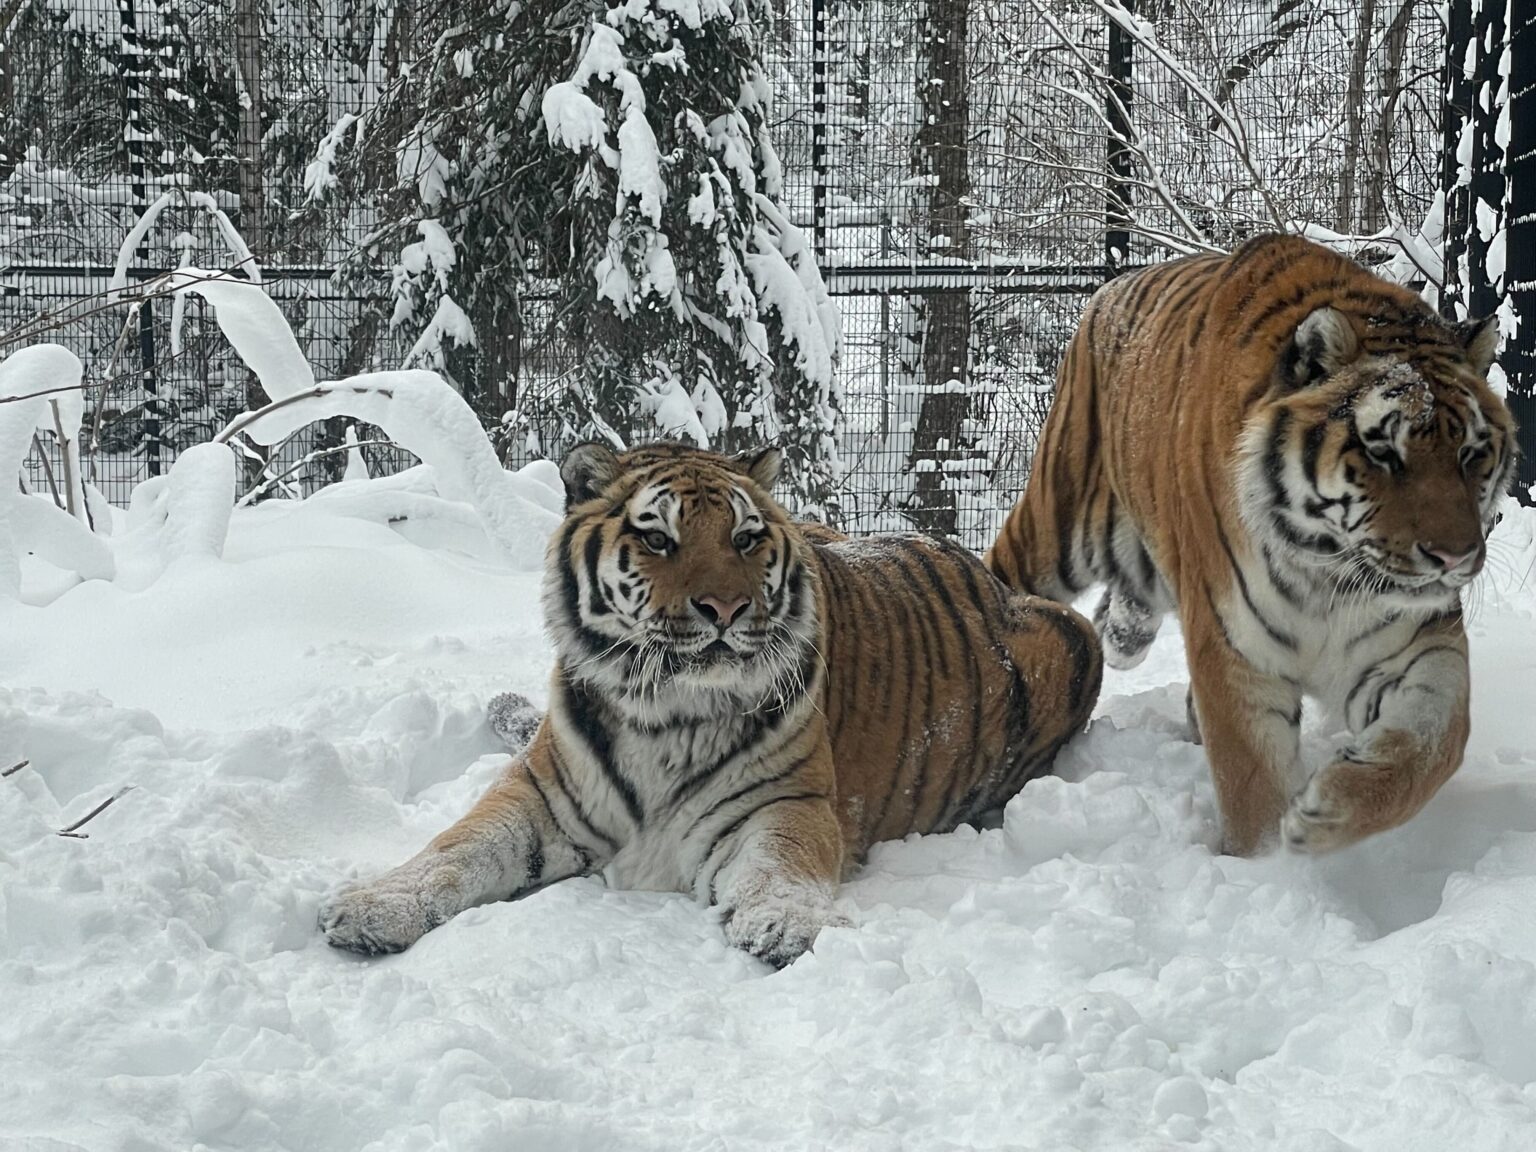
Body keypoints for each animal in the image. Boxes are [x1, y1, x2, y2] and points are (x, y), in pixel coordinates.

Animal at [320, 442, 1102, 967]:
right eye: (656, 537)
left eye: (746, 538)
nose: (726, 608)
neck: (661, 711)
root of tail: (983, 572)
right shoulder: (539, 793)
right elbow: (456, 847)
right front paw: (372, 906)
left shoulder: (785, 802)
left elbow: (781, 863)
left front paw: (789, 925)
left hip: (1073, 636)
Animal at [985, 233, 1517, 857]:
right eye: (1382, 452)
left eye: (1471, 454)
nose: (1454, 557)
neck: (1328, 570)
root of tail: (1110, 287)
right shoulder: (1235, 648)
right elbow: (1253, 783)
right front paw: (1267, 863)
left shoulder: (1415, 641)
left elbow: (1433, 742)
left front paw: (1323, 812)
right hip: (1056, 526)